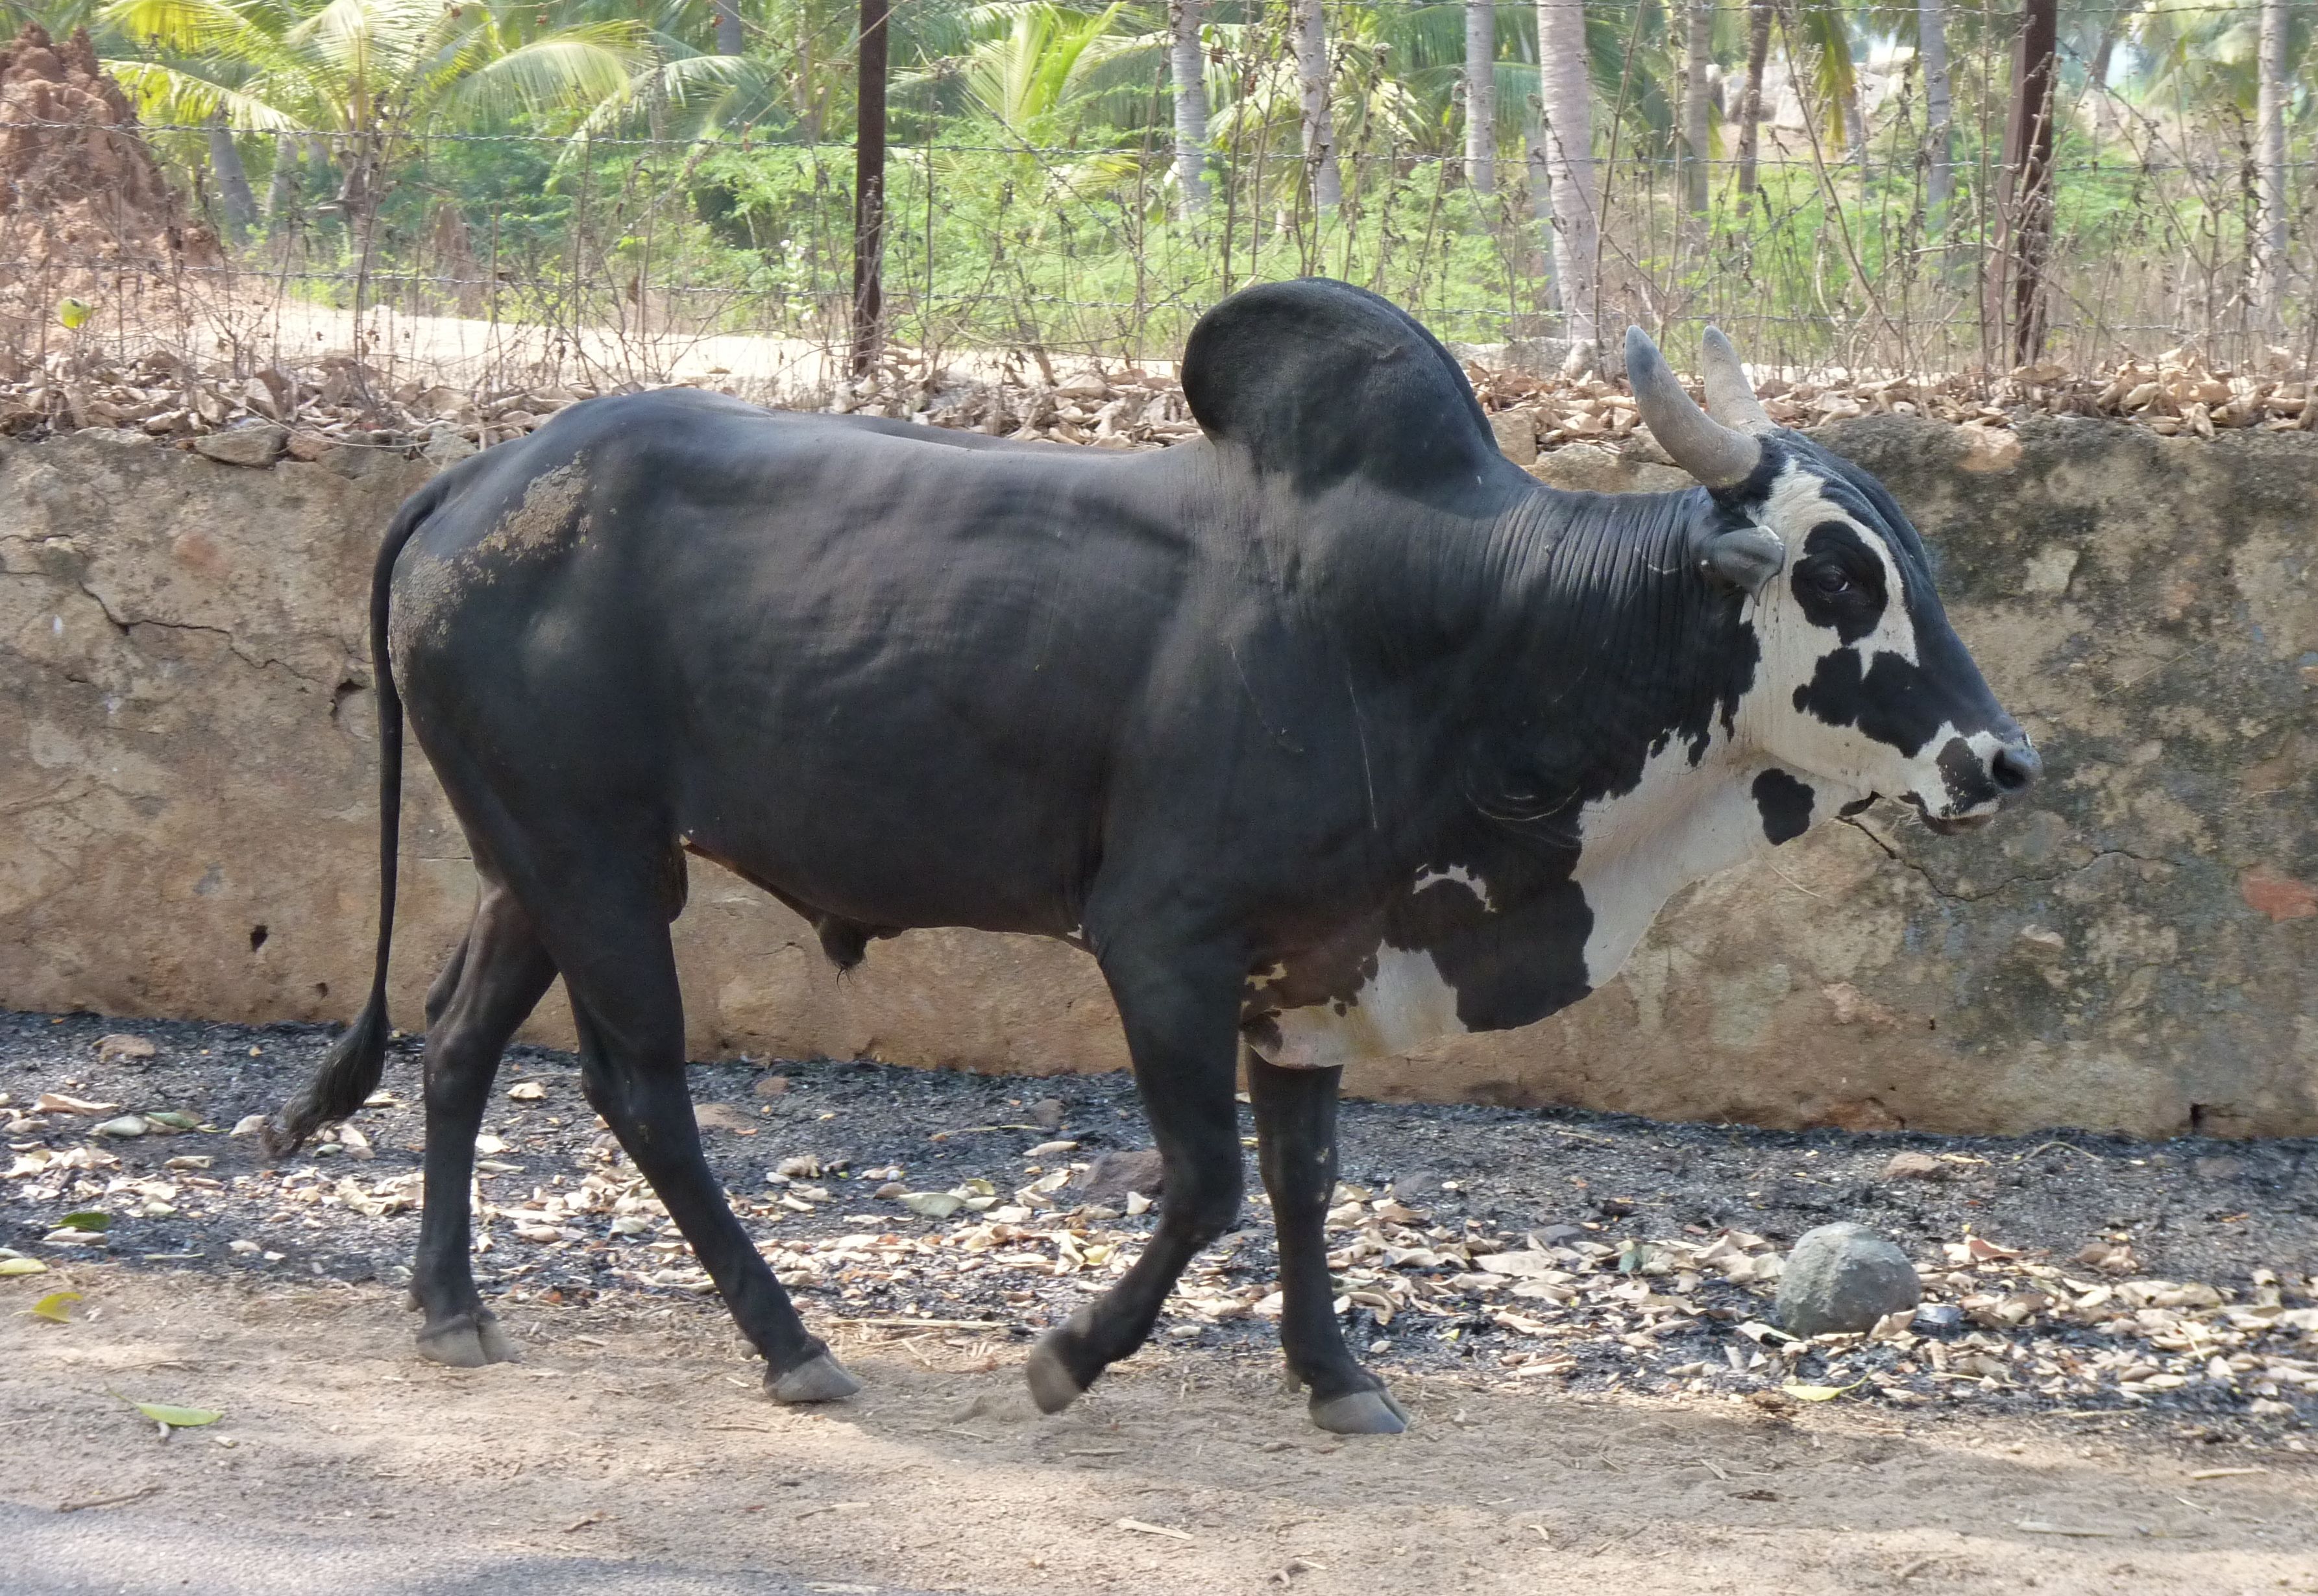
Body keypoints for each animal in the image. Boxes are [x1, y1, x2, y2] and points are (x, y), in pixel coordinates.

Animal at [267, 278, 2036, 1435]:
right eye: (1836, 574)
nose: (2002, 761)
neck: (1471, 620)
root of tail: (480, 472)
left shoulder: (1311, 964)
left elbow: (1308, 1179)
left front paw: (1337, 1379)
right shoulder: (1160, 940)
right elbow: (1207, 1181)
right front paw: (1068, 1353)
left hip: (540, 864)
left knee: (455, 1044)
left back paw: (451, 1308)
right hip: (603, 865)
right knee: (638, 1091)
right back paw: (791, 1344)